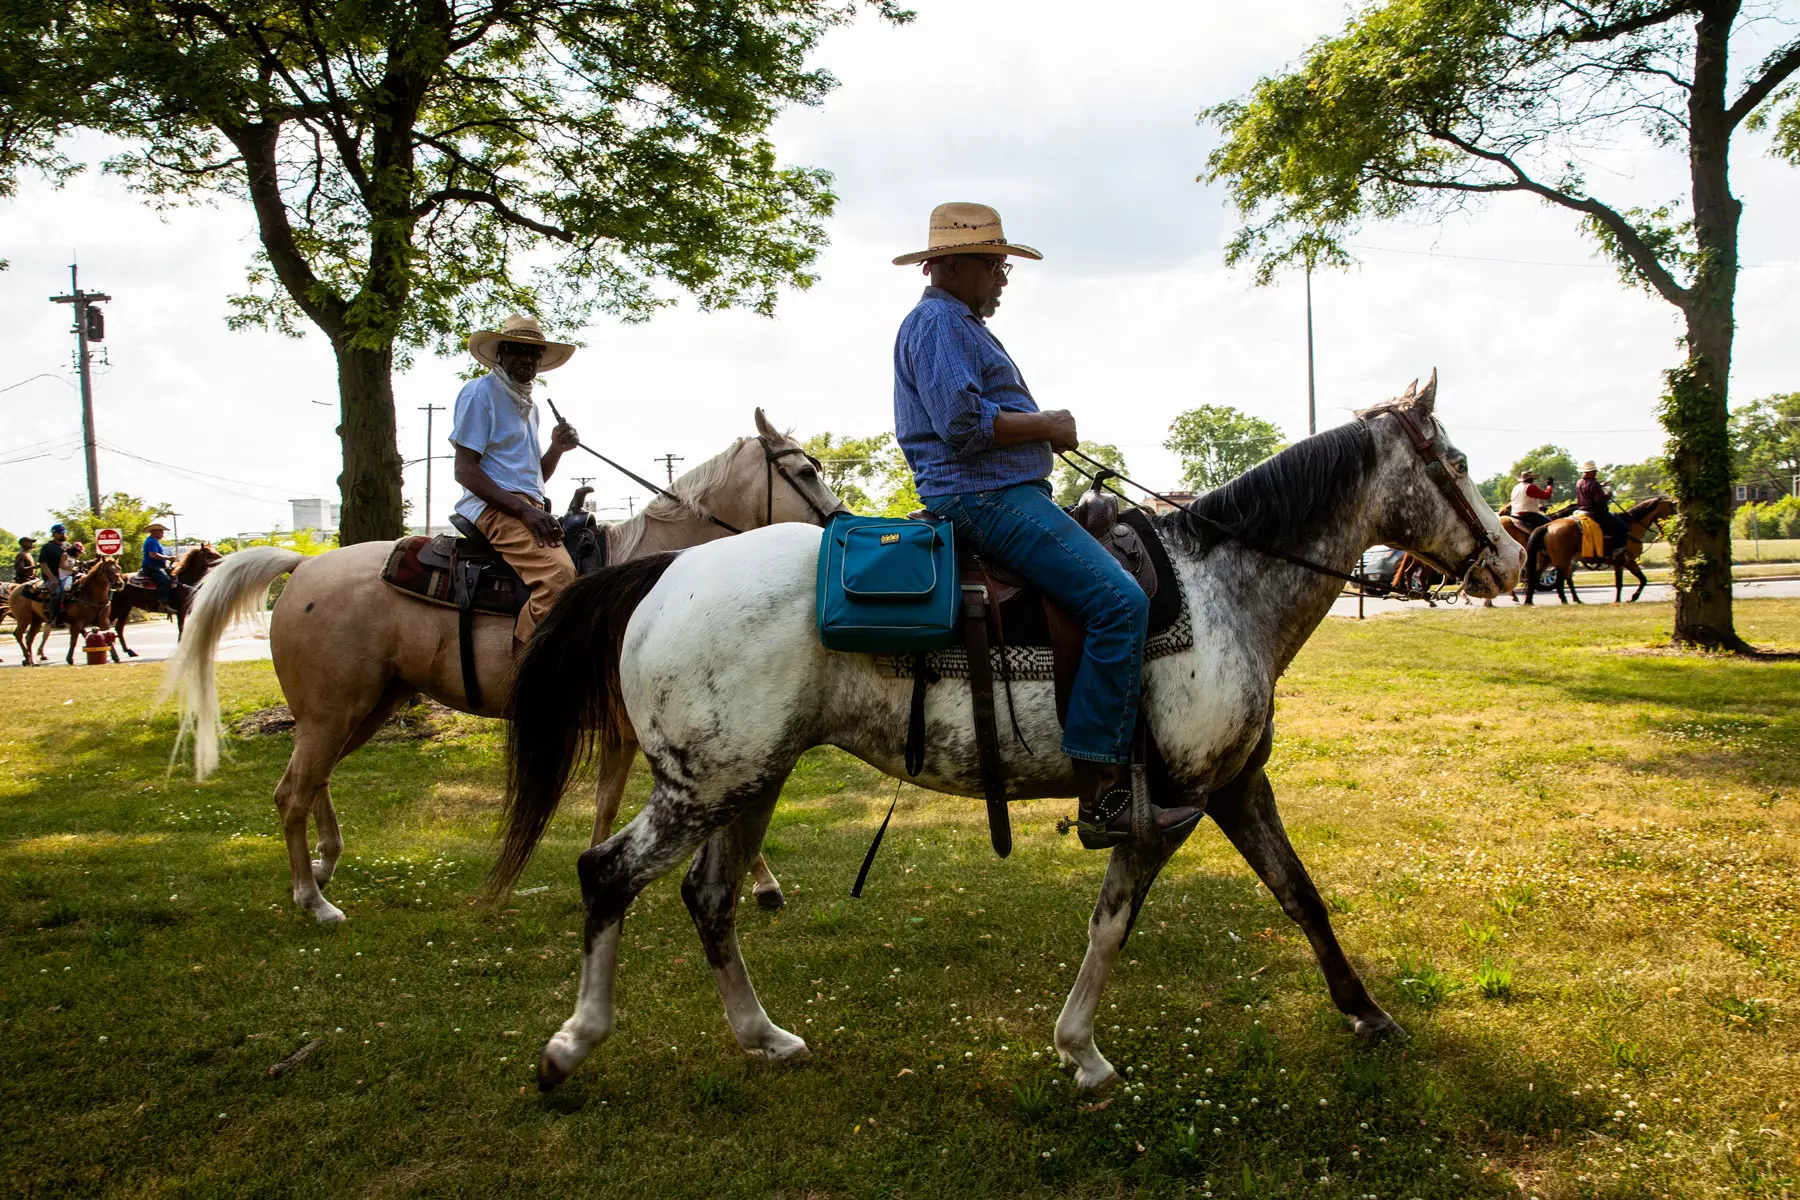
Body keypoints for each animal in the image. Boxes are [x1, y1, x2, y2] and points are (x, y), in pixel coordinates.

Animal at [165, 408, 846, 928]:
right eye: (805, 470)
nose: (841, 523)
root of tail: (302, 566)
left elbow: (611, 805)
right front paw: (762, 883)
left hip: (362, 708)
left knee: (314, 783)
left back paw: (325, 865)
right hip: (334, 712)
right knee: (292, 793)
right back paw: (314, 900)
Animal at [489, 377, 1519, 1101]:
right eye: (1459, 460)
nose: (1509, 557)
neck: (1227, 585)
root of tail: (665, 571)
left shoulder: (1233, 786)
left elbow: (1302, 896)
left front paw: (1367, 1012)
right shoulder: (1167, 806)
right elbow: (1112, 924)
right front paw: (1083, 1053)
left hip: (751, 779)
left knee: (709, 899)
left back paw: (764, 1037)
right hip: (701, 785)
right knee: (607, 875)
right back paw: (570, 1046)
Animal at [1526, 496, 1677, 604]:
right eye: (1673, 510)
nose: (1673, 530)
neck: (1631, 525)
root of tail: (1547, 526)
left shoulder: (1625, 561)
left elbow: (1641, 579)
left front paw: (1628, 598)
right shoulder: (1624, 560)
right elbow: (1621, 582)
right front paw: (1624, 599)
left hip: (1547, 559)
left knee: (1536, 576)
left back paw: (1531, 601)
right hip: (1561, 560)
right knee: (1558, 581)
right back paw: (1565, 601)